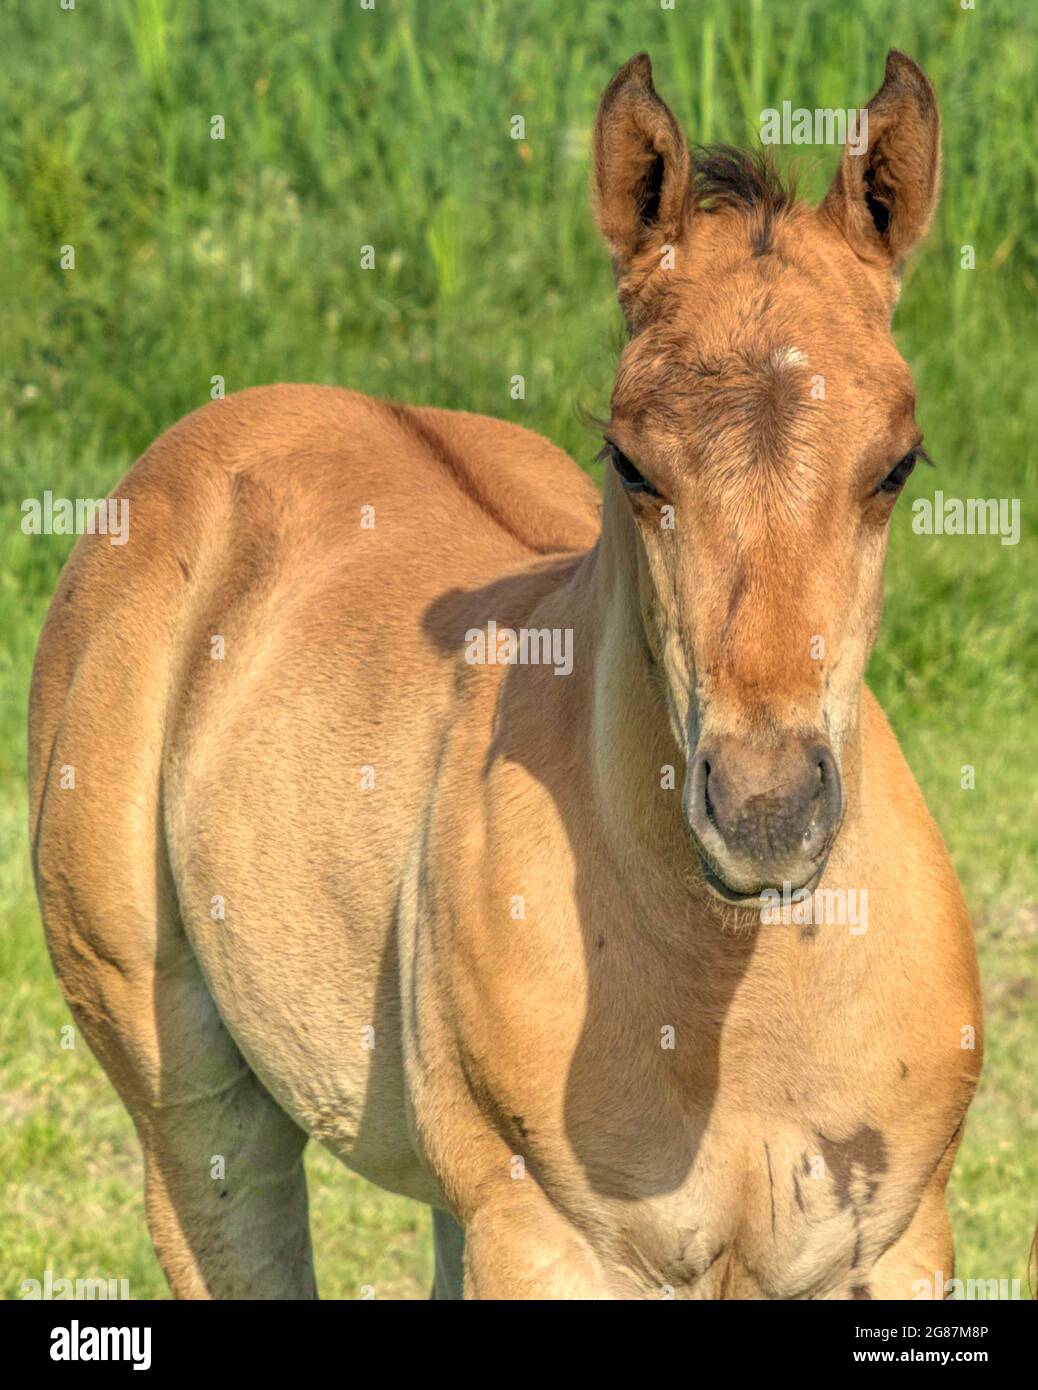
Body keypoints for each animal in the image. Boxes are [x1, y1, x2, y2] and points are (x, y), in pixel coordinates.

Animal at [29, 50, 982, 1299]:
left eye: (897, 464)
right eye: (630, 460)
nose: (766, 811)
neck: (737, 1008)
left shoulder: (896, 1244)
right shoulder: (544, 1243)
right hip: (193, 1110)